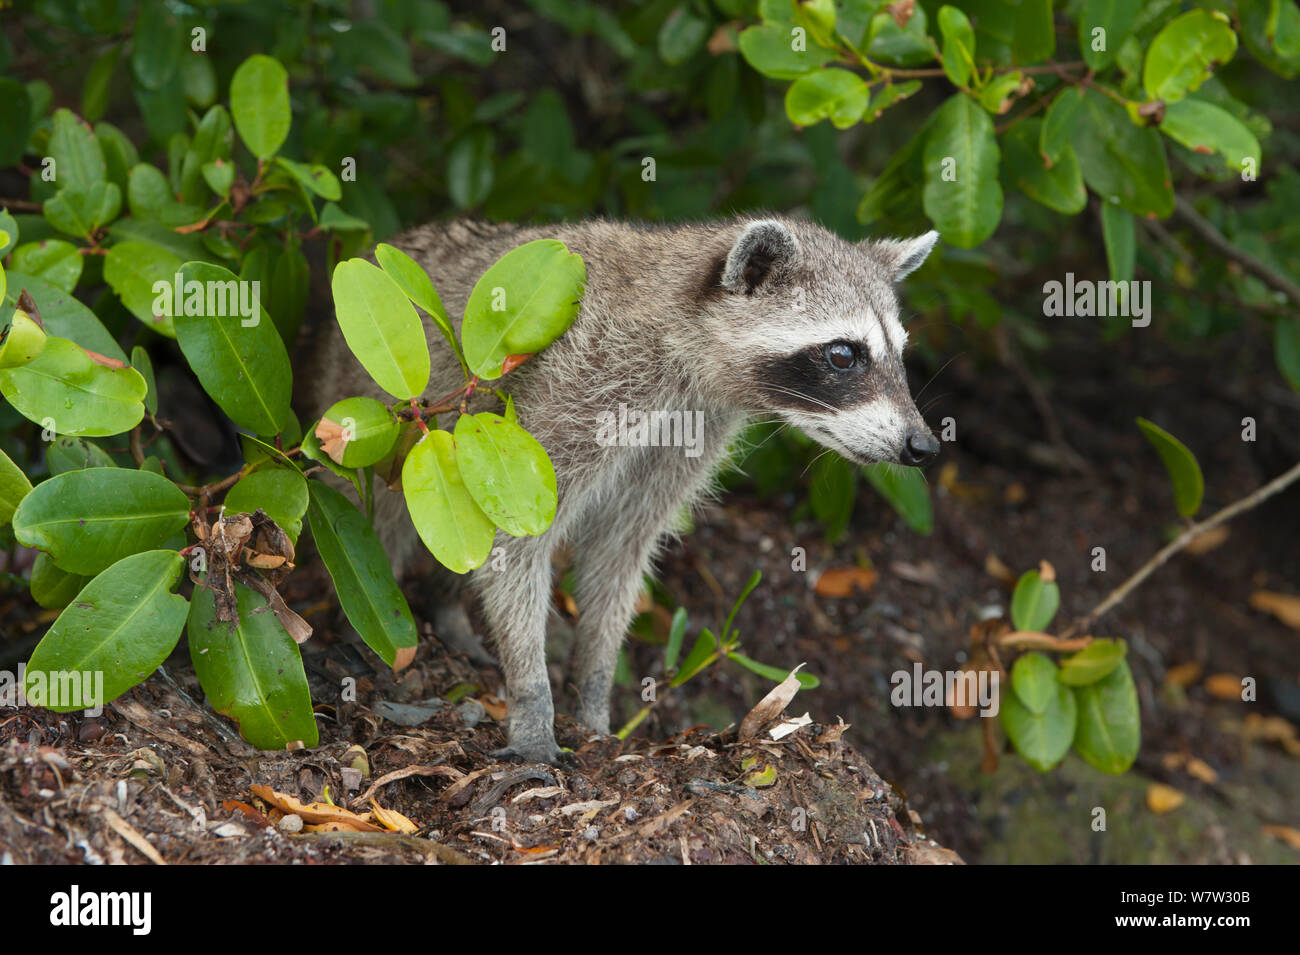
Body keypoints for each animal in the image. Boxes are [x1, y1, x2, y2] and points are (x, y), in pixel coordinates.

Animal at [304, 216, 940, 764]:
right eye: (844, 354)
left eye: (900, 355)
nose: (924, 445)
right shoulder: (578, 388)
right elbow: (517, 538)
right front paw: (532, 697)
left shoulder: (685, 436)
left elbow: (619, 553)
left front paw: (593, 690)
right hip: (375, 410)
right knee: (384, 517)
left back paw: (444, 602)